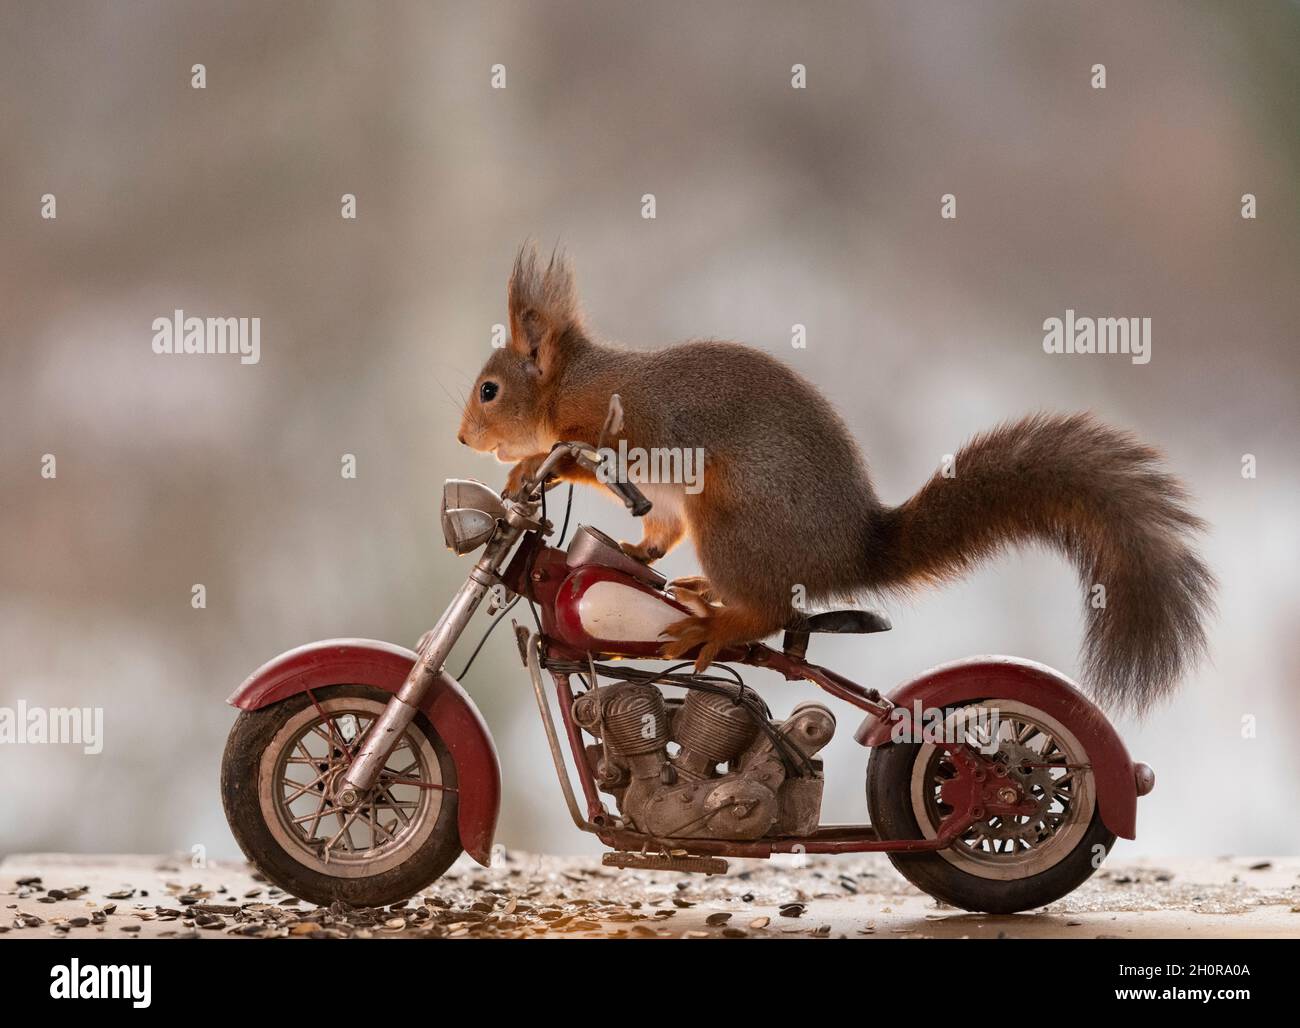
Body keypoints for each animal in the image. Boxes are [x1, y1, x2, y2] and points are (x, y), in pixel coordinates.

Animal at [458, 247, 1215, 711]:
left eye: (489, 390)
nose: (463, 438)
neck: (571, 384)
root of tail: (847, 554)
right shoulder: (662, 504)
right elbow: (657, 531)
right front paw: (630, 550)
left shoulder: (629, 426)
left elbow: (591, 455)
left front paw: (532, 466)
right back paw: (700, 593)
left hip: (733, 516)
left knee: (767, 608)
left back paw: (713, 622)